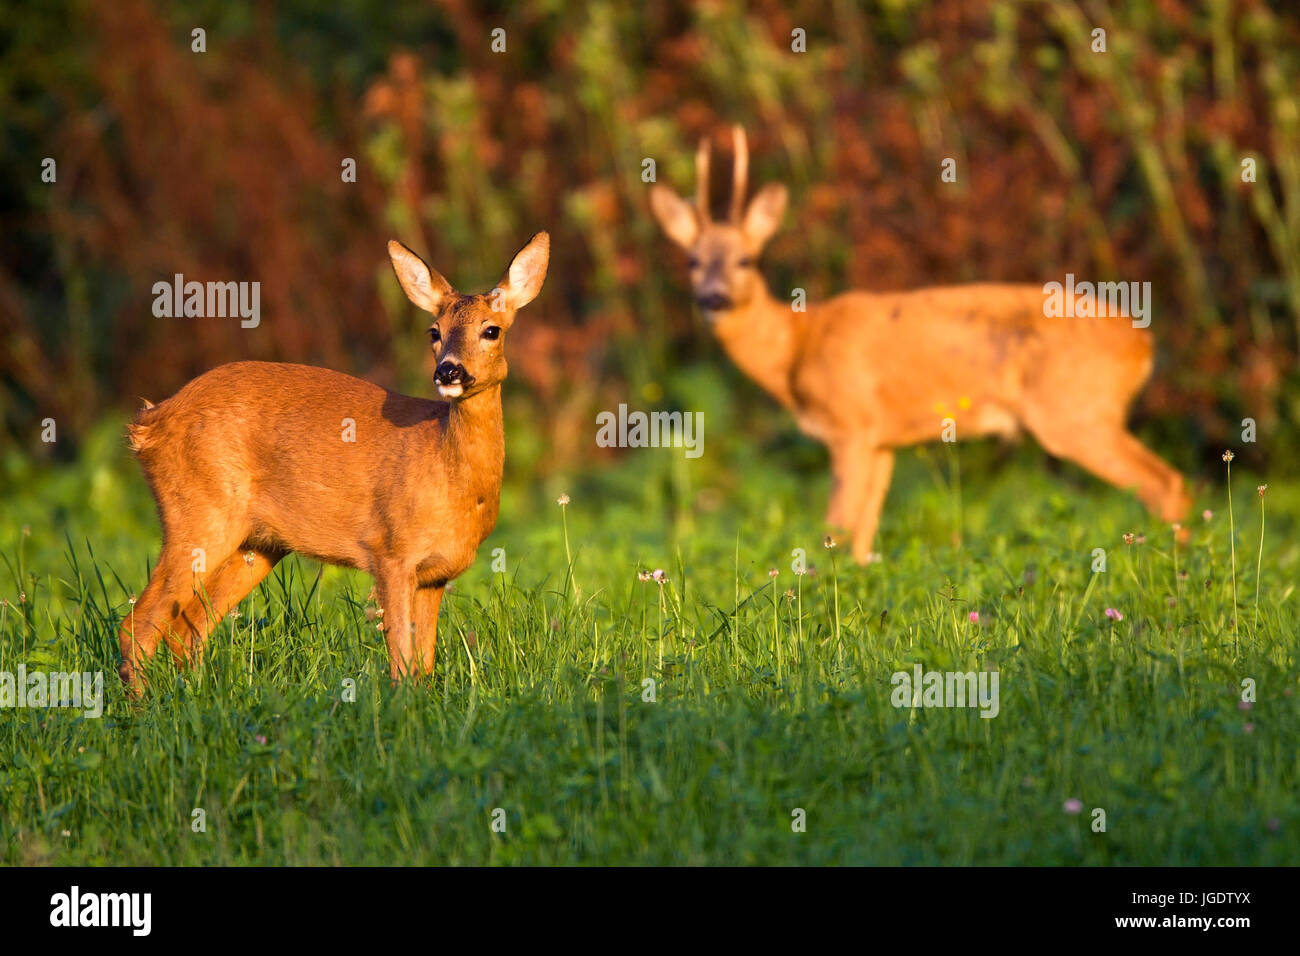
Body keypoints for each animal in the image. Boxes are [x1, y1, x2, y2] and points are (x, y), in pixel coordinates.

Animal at [117, 233, 549, 695]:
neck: (450, 474)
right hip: (198, 514)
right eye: (434, 331)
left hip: (258, 542)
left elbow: (424, 664)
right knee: (139, 622)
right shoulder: (390, 550)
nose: (449, 371)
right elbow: (401, 659)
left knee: (188, 626)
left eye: (491, 330)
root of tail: (149, 423)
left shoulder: (435, 575)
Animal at [650, 127, 1190, 563]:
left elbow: (836, 527)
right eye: (691, 261)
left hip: (1074, 412)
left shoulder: (851, 426)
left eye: (746, 259)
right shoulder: (882, 442)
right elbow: (862, 539)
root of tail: (1144, 342)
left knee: (1164, 483)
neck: (796, 347)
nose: (713, 298)